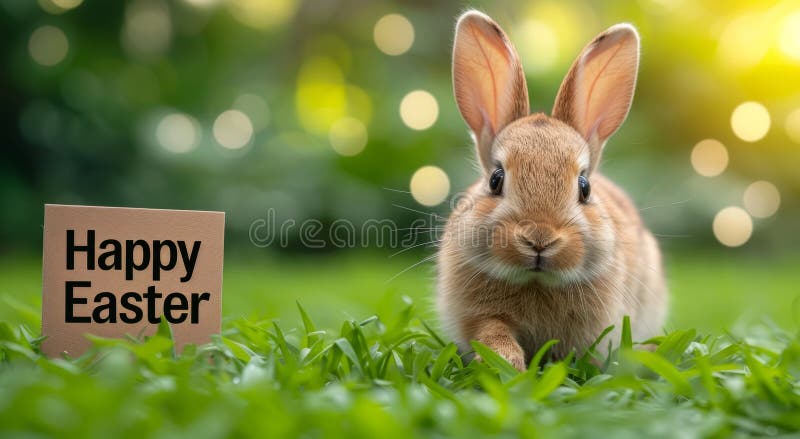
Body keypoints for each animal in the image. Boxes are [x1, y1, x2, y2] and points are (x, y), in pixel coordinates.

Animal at [436, 10, 668, 371]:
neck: (536, 281)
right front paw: (507, 363)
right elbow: (492, 331)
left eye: (584, 187)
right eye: (495, 180)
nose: (539, 238)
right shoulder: (480, 317)